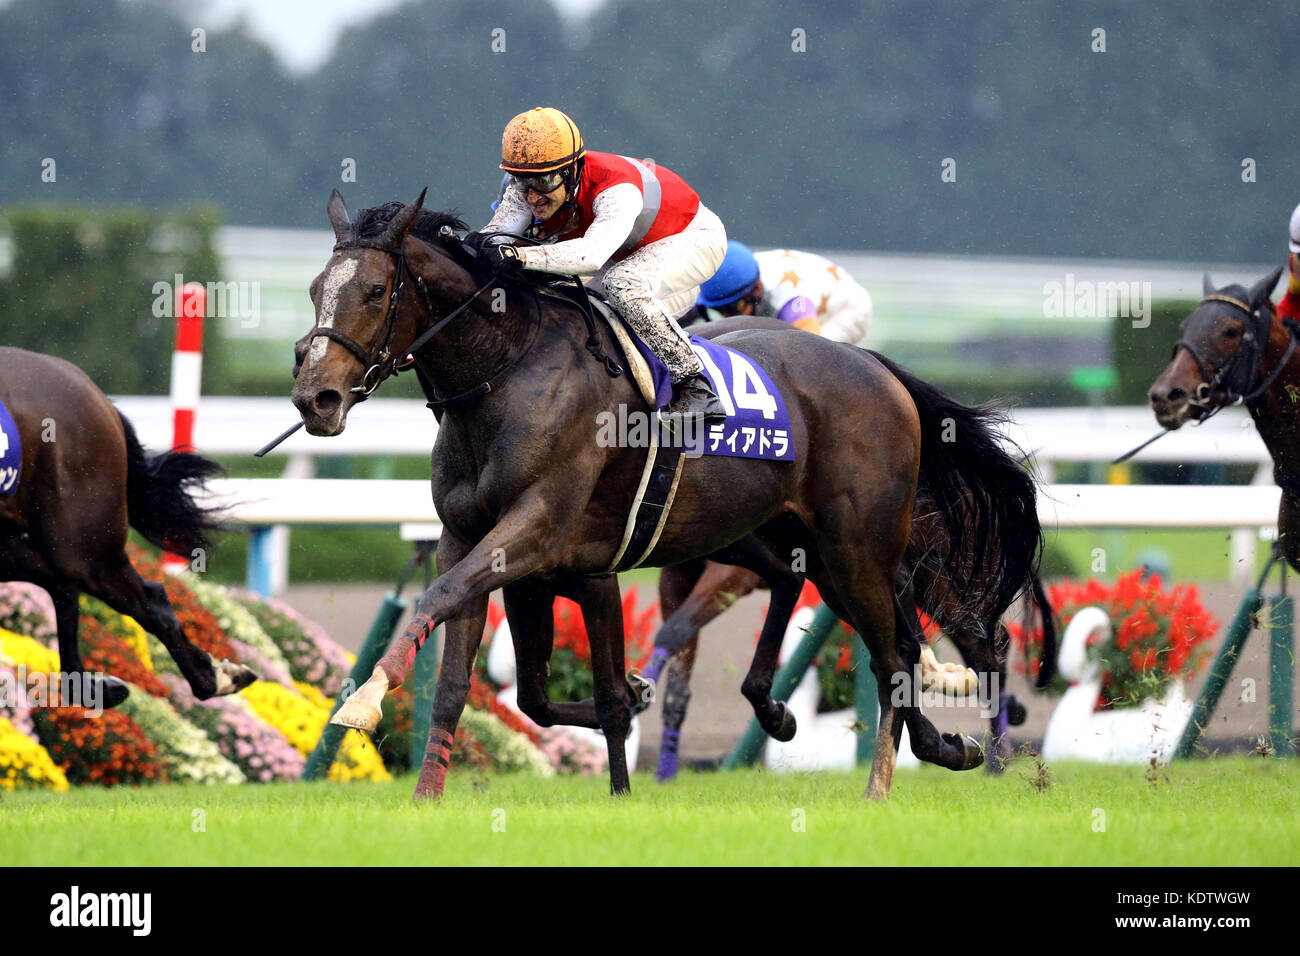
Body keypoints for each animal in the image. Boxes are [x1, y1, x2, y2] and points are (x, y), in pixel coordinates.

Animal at [292, 189, 1042, 801]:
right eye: (314, 288)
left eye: (377, 290)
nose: (314, 397)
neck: (507, 373)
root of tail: (880, 370)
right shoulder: (477, 542)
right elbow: (467, 678)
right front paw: (427, 793)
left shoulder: (537, 529)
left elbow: (444, 600)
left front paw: (364, 700)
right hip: (812, 551)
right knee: (888, 637)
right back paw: (943, 745)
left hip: (859, 550)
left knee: (899, 654)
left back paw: (887, 780)